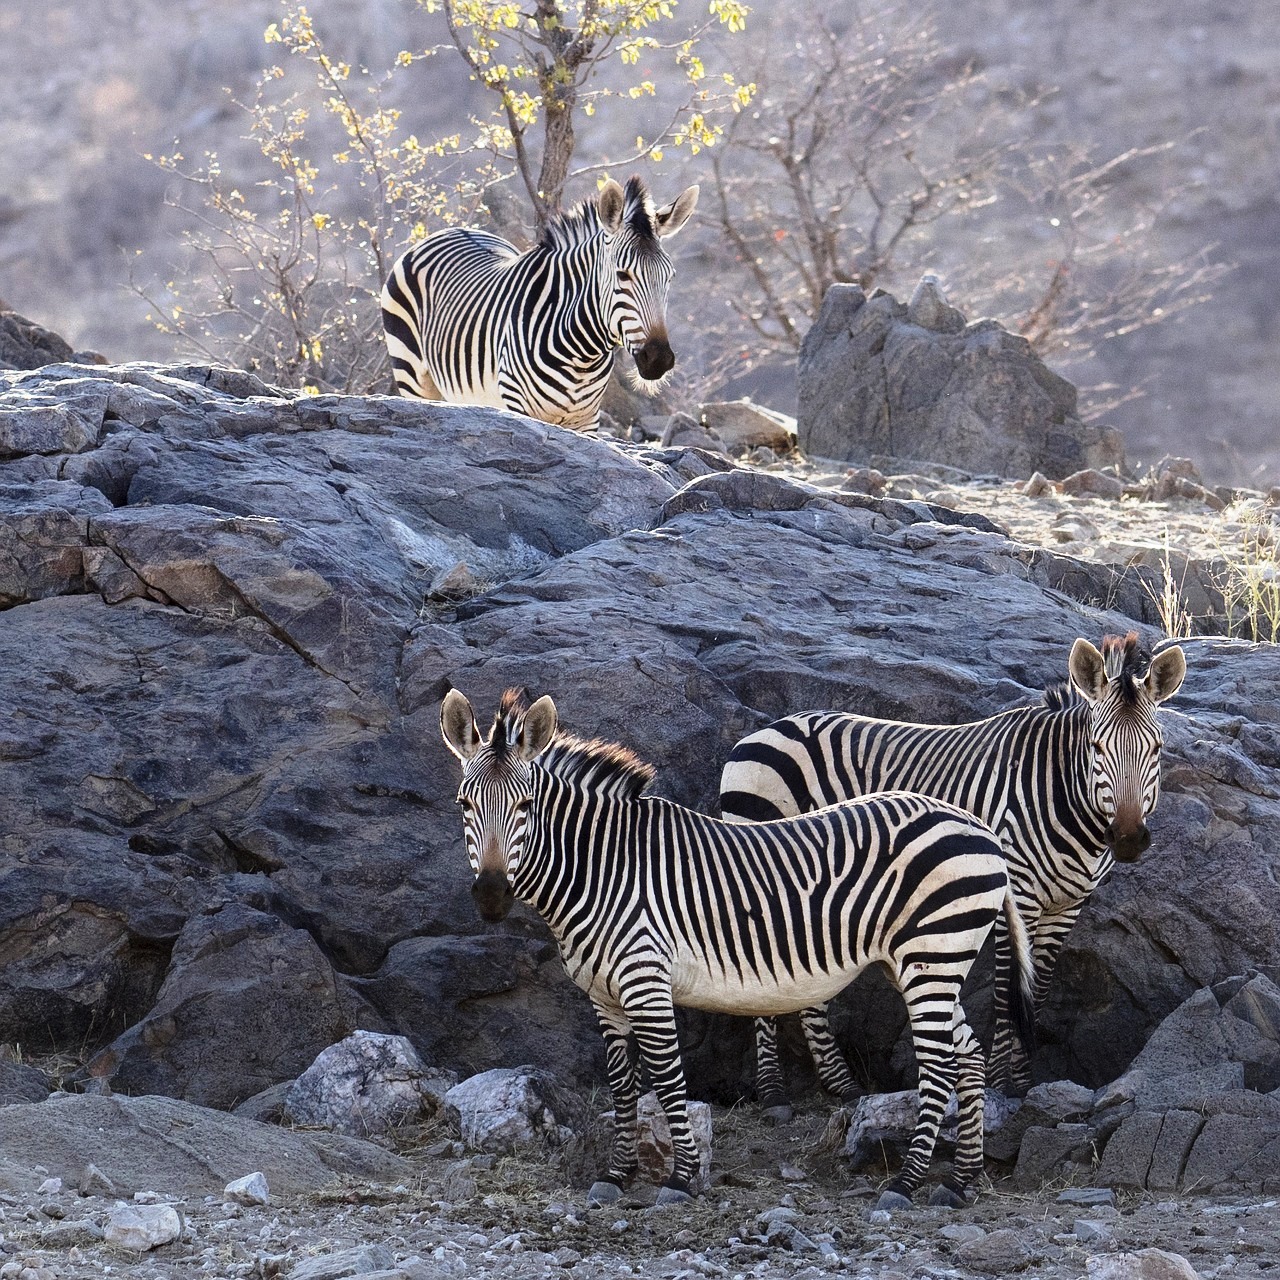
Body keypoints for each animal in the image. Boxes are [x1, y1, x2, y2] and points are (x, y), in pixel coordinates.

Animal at [380, 176, 698, 428]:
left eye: (669, 277)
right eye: (623, 275)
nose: (659, 359)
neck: (582, 354)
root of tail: (450, 230)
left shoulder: (586, 419)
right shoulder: (518, 405)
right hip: (412, 375)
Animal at [440, 687, 1035, 1209]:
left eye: (524, 805)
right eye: (464, 804)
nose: (491, 896)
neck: (604, 868)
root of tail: (976, 825)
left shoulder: (646, 981)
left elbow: (667, 1081)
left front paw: (679, 1179)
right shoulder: (605, 997)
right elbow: (623, 1087)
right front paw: (615, 1174)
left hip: (932, 956)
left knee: (939, 1068)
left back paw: (907, 1184)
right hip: (925, 963)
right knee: (968, 1054)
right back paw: (960, 1180)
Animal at [719, 631, 1187, 1111]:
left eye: (1156, 749)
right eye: (1096, 748)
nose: (1128, 838)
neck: (1062, 793)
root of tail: (765, 729)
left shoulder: (1068, 905)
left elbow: (1036, 989)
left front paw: (1024, 1080)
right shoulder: (1015, 893)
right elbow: (1006, 990)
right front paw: (1001, 1082)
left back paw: (842, 1085)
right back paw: (773, 1091)